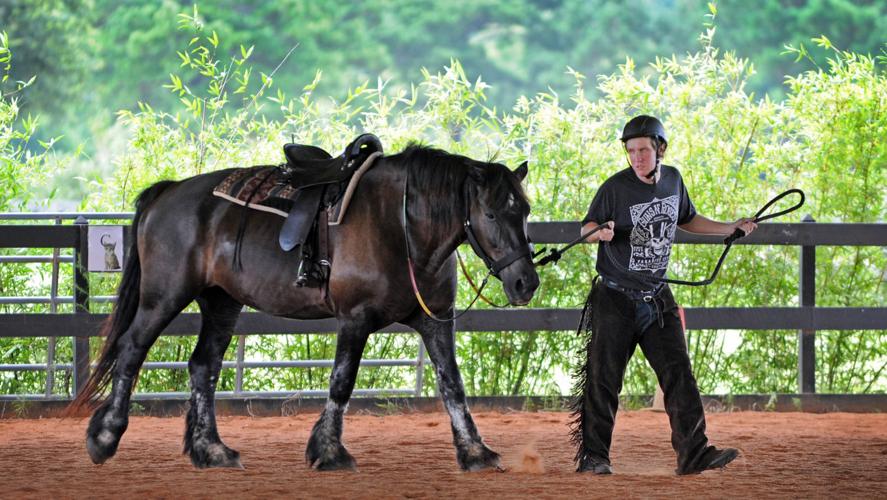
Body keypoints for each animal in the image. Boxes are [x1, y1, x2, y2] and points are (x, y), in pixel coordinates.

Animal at [69, 144, 540, 471]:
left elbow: (453, 386)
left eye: (526, 210)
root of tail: (167, 192)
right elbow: (341, 383)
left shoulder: (435, 321)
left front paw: (476, 452)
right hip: (164, 296)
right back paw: (104, 439)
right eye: (491, 214)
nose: (525, 283)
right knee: (132, 350)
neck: (401, 226)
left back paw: (212, 450)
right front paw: (329, 452)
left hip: (221, 303)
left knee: (203, 366)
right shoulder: (355, 320)